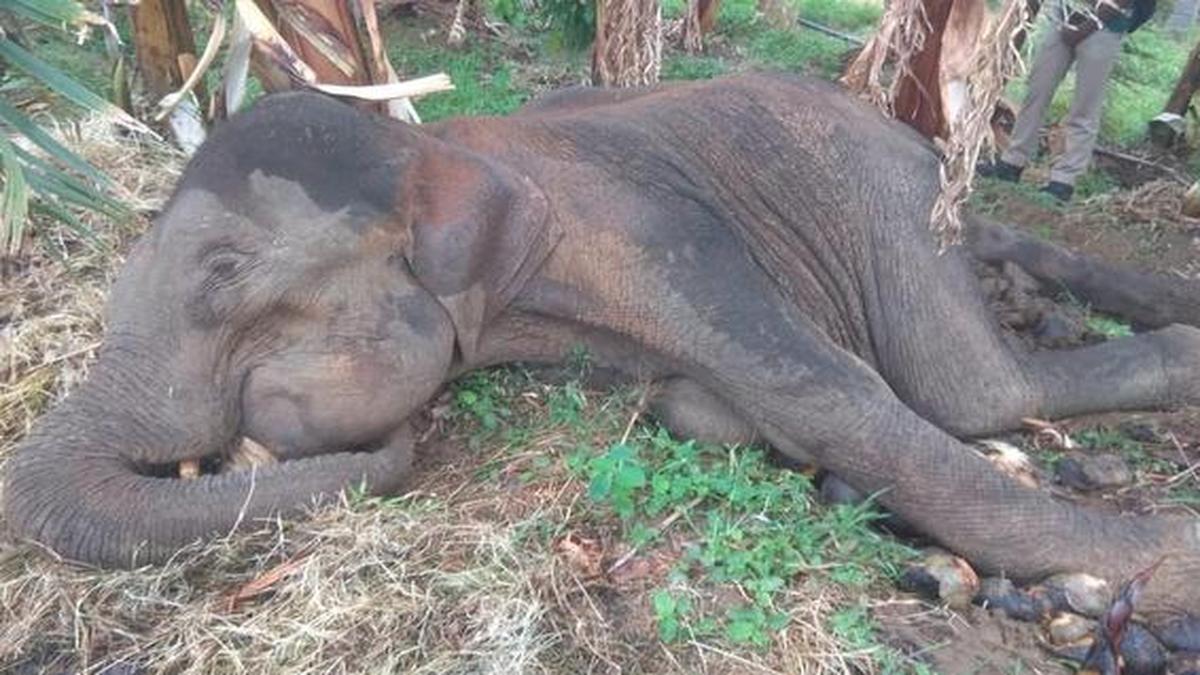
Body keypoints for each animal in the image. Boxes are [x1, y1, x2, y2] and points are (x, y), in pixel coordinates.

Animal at [5, 73, 1200, 618]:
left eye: (221, 280)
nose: (396, 448)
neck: (435, 153)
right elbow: (727, 402)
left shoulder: (657, 236)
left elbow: (853, 405)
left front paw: (1164, 569)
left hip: (896, 199)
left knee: (970, 392)